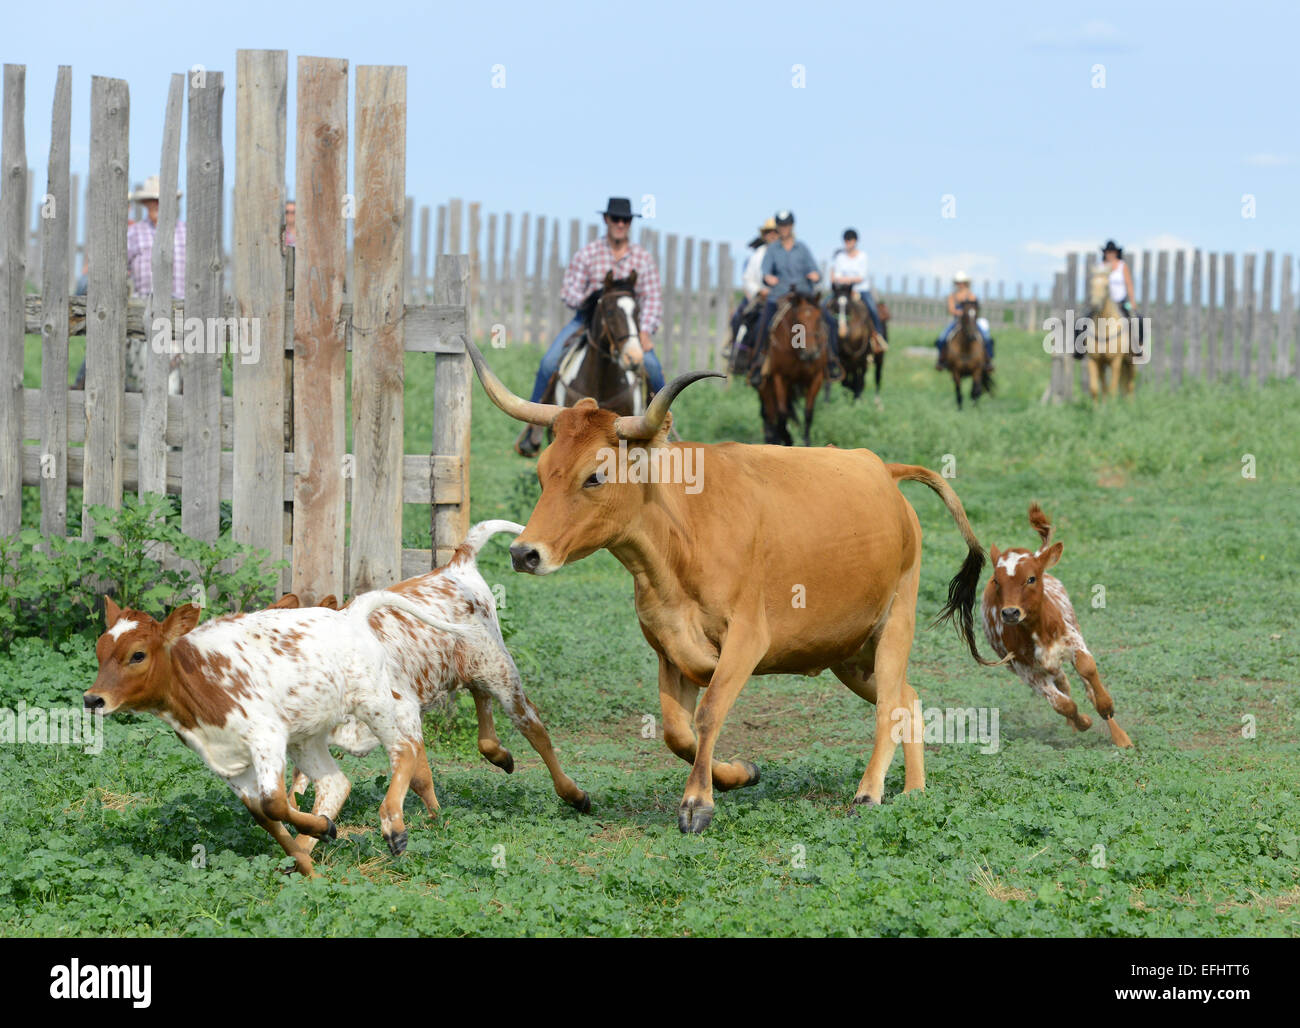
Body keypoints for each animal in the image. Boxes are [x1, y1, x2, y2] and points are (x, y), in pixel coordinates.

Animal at [86, 590, 476, 876]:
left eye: (138, 654)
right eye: (100, 650)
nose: (93, 699)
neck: (199, 681)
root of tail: (349, 614)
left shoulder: (267, 739)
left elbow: (273, 803)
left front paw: (321, 834)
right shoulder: (228, 766)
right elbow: (264, 815)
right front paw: (311, 854)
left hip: (374, 702)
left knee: (404, 749)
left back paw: (393, 826)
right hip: (307, 736)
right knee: (335, 783)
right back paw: (310, 844)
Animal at [462, 339, 1004, 833]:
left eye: (594, 476)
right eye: (541, 472)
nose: (524, 553)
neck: (682, 536)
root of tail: (884, 471)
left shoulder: (746, 641)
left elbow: (709, 714)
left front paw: (697, 804)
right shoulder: (669, 652)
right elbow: (678, 733)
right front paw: (737, 775)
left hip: (895, 624)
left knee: (891, 705)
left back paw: (869, 793)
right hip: (849, 653)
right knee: (908, 698)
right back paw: (914, 791)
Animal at [981, 503, 1134, 747]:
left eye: (1031, 578)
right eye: (996, 580)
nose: (1010, 612)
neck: (1038, 631)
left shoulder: (1073, 639)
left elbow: (1087, 668)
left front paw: (1107, 707)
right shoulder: (1026, 671)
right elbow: (1063, 704)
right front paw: (1083, 722)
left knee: (1083, 687)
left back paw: (1119, 735)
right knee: (1063, 684)